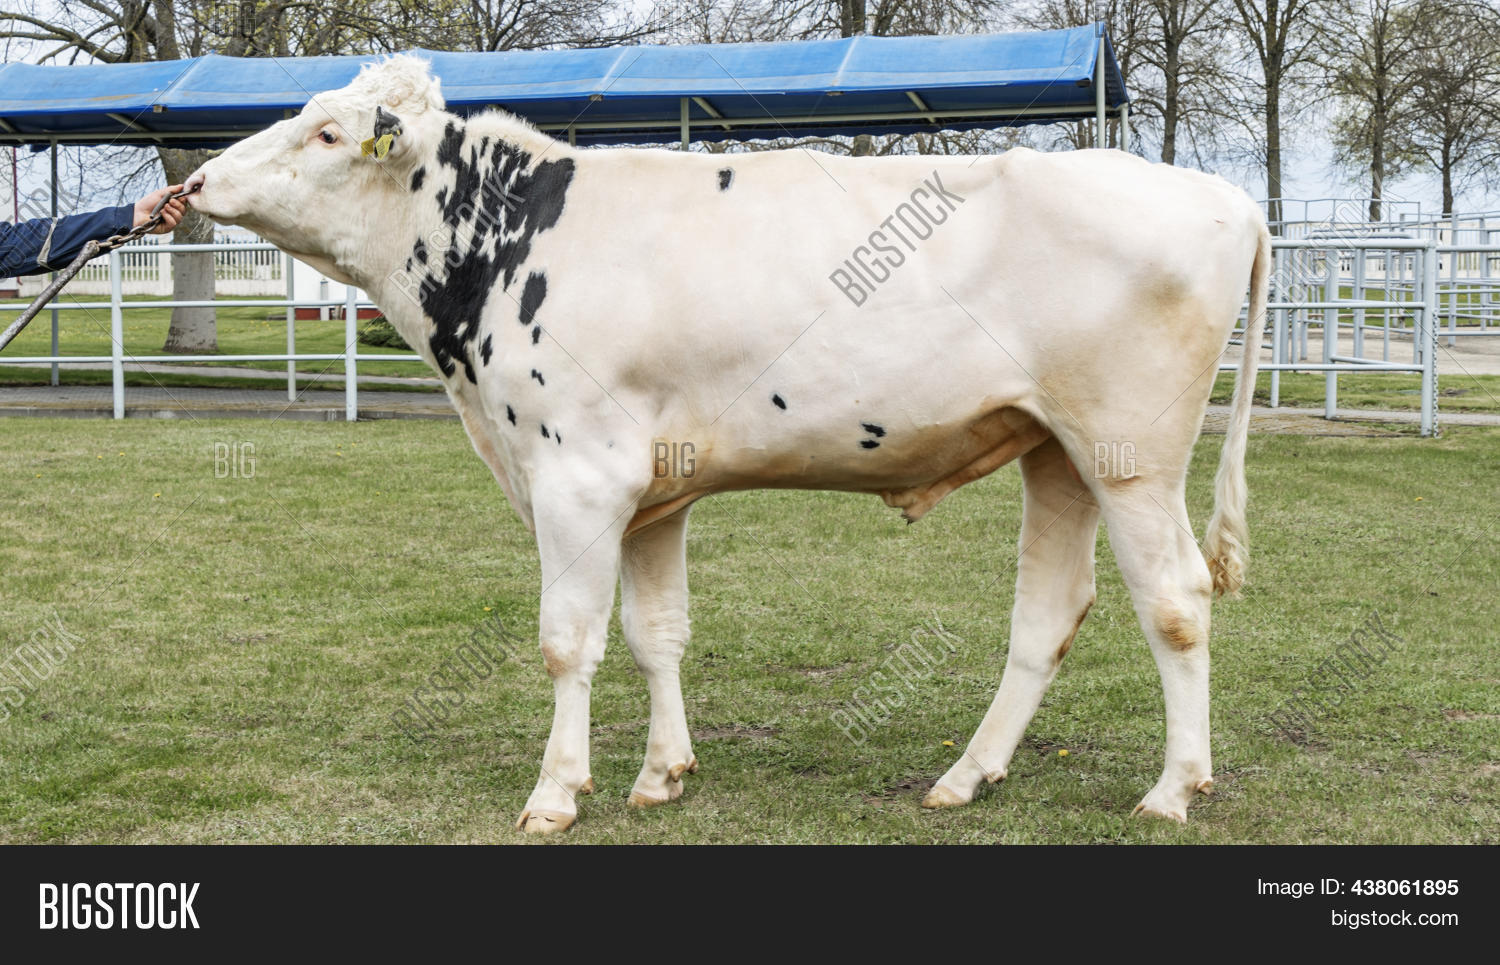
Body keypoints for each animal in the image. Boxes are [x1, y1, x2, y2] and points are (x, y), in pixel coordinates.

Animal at [186, 55, 1269, 834]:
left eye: (328, 131)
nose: (195, 177)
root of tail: (1223, 196)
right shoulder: (652, 489)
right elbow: (655, 631)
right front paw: (662, 772)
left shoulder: (578, 472)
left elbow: (567, 639)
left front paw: (556, 791)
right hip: (1057, 447)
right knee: (1048, 612)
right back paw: (967, 774)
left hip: (1131, 448)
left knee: (1176, 598)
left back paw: (1174, 787)